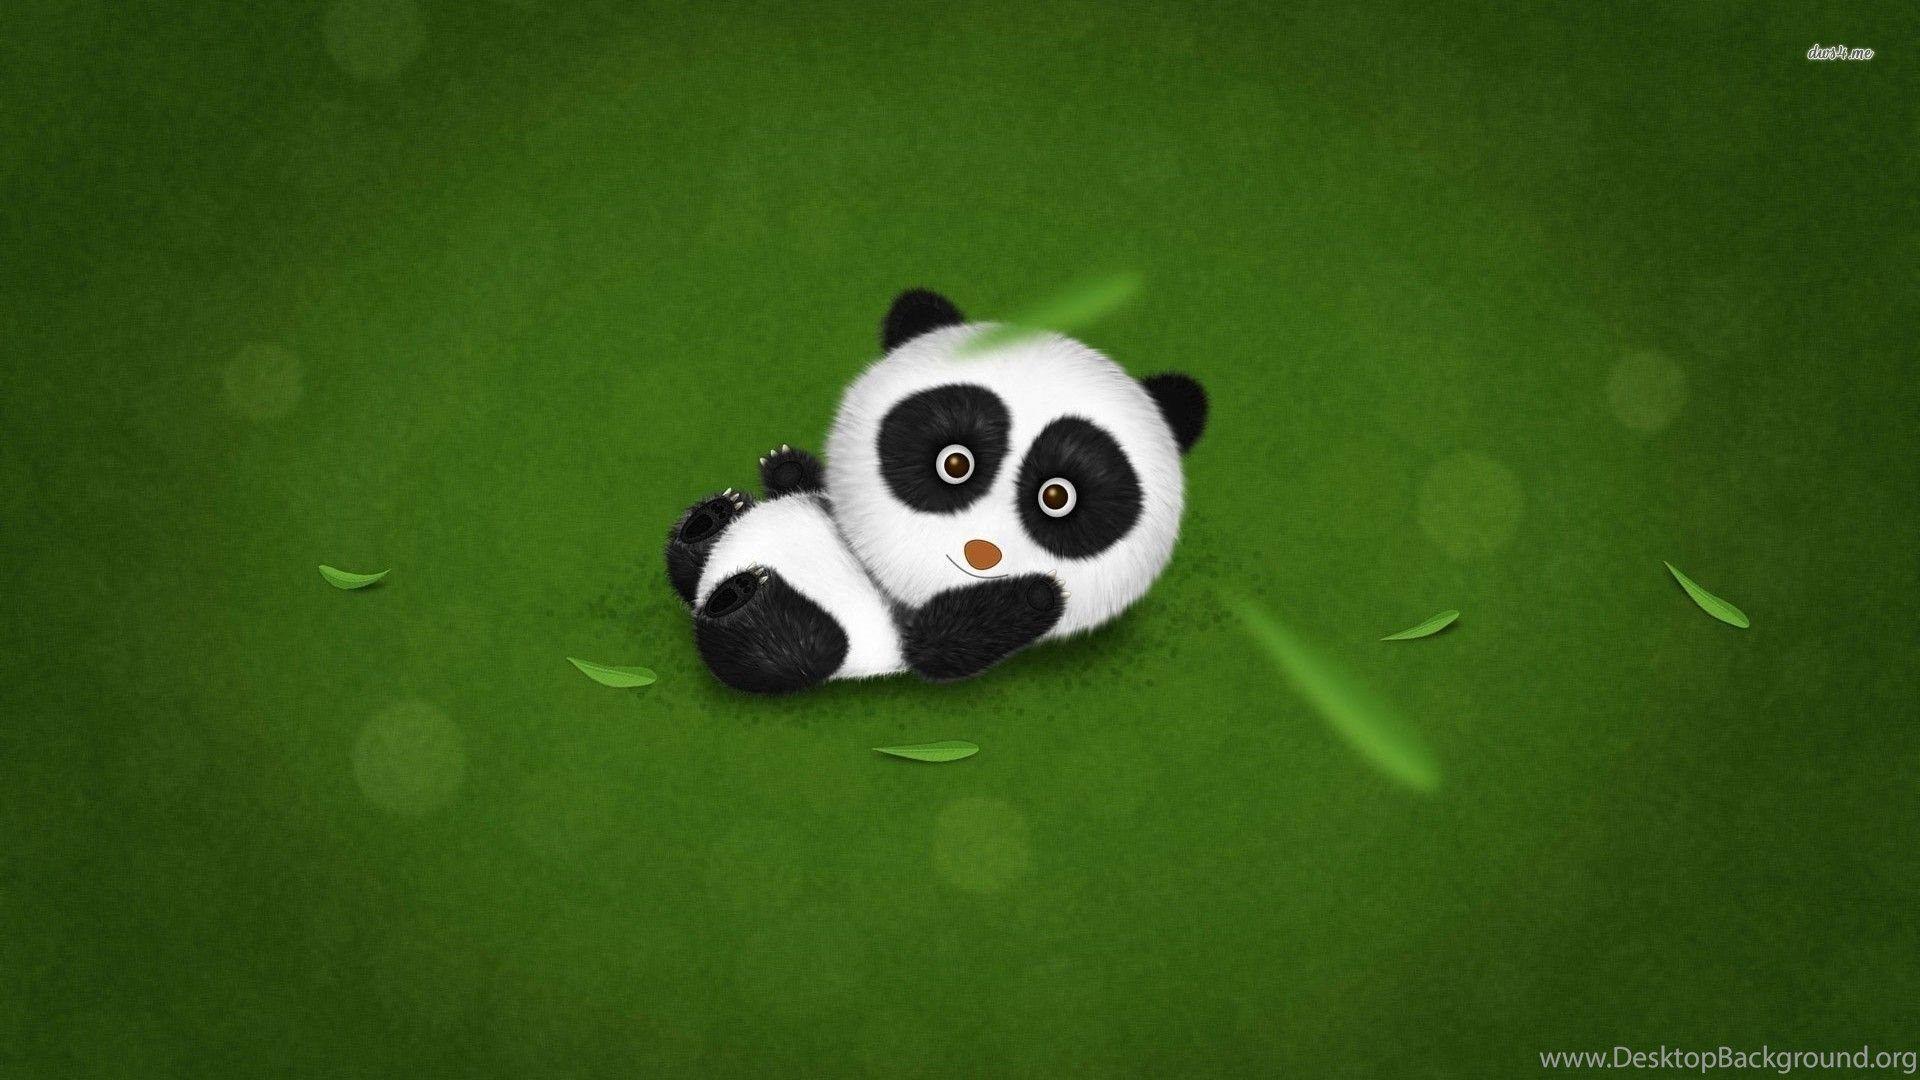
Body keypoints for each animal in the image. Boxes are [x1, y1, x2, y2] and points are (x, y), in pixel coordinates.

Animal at [664, 289, 1207, 694]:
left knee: (782, 645)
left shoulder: (913, 635)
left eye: (1058, 496)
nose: (982, 553)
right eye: (955, 463)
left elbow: (940, 651)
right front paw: (785, 466)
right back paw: (715, 519)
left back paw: (744, 592)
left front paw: (1037, 592)